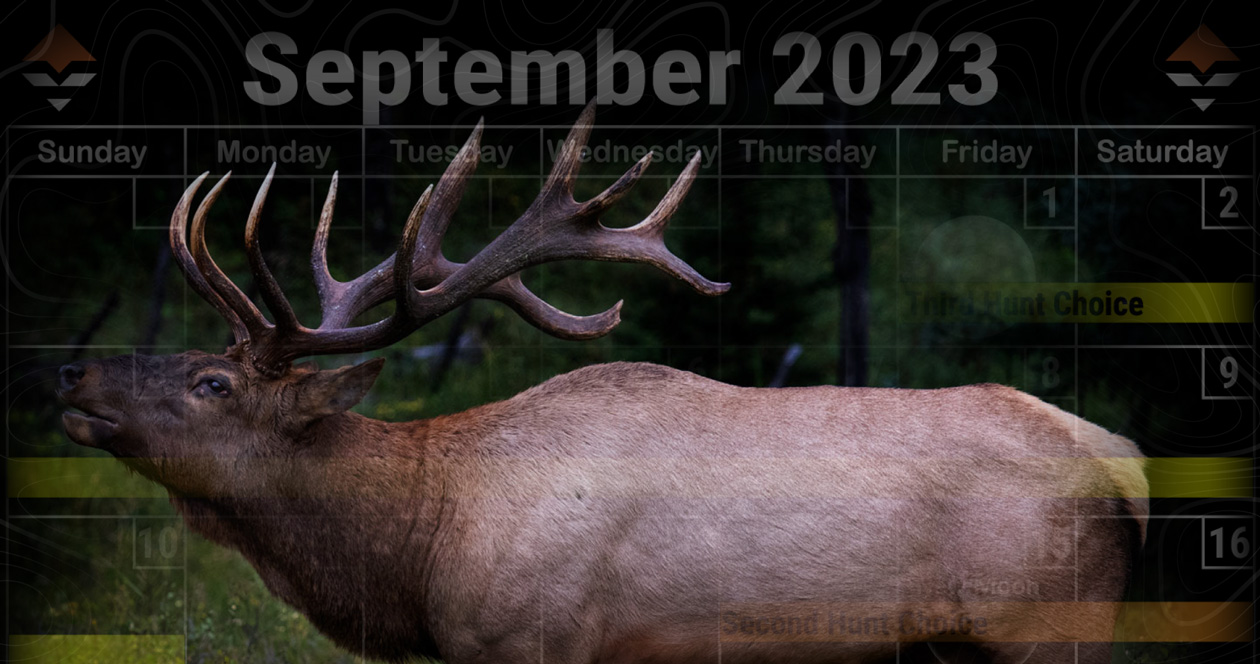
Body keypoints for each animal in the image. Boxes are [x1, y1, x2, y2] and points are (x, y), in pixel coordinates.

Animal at [56, 104, 1148, 664]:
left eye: (212, 382)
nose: (70, 366)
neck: (419, 551)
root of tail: (1126, 463)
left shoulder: (534, 642)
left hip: (1050, 628)